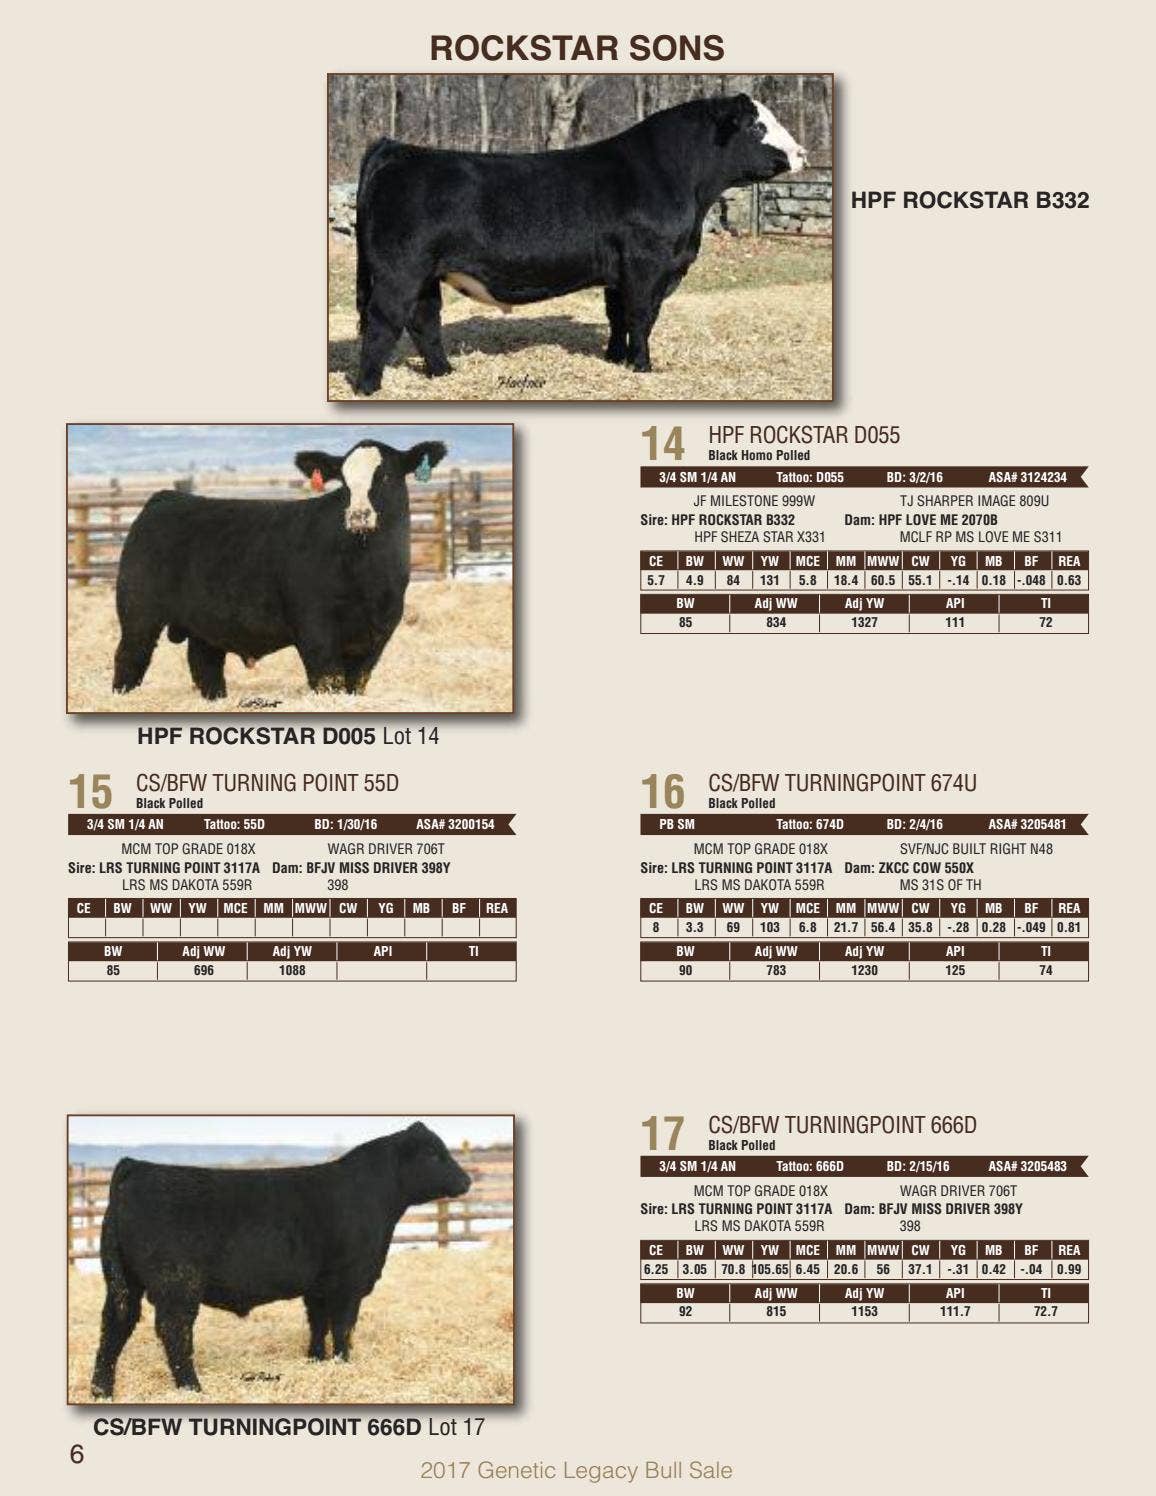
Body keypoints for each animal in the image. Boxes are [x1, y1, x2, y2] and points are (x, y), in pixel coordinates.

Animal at [90, 1122, 472, 1398]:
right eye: (435, 1155)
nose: (467, 1179)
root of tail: (137, 1167)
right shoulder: (349, 1281)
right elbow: (343, 1326)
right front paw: (342, 1362)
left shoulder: (318, 1286)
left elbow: (318, 1323)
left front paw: (315, 1359)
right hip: (177, 1286)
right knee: (173, 1331)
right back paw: (192, 1388)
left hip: (122, 1283)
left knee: (114, 1326)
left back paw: (101, 1390)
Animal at [111, 438, 446, 699]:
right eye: (344, 481)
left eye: (386, 476)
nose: (358, 515)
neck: (369, 574)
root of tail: (165, 498)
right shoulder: (315, 627)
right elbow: (328, 679)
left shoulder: (379, 632)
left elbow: (355, 683)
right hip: (139, 612)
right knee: (130, 657)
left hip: (204, 624)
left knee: (205, 664)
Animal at [351, 93, 806, 393]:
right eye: (757, 125)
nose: (802, 153)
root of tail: (396, 148)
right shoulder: (647, 263)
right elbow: (642, 315)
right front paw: (643, 366)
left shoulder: (619, 270)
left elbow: (618, 316)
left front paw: (615, 358)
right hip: (398, 270)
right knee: (383, 322)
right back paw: (367, 387)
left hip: (425, 273)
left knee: (424, 319)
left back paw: (443, 373)